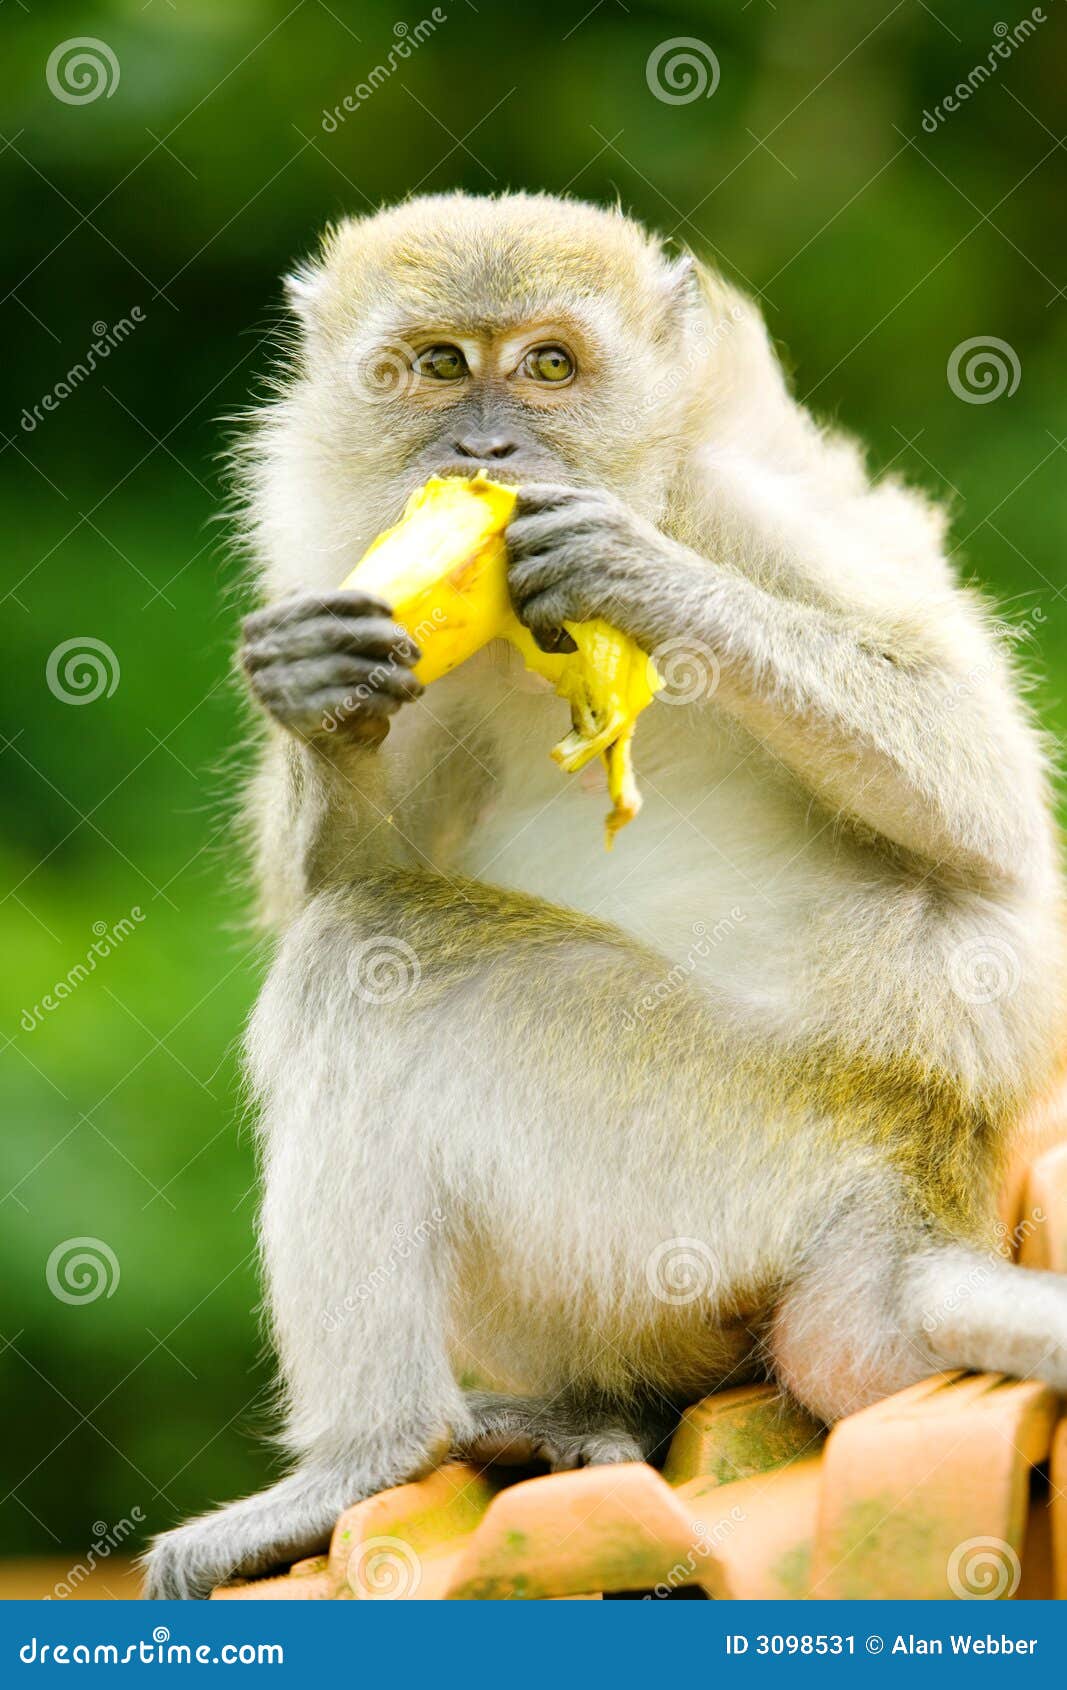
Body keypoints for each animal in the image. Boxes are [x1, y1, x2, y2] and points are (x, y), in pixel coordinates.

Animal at [143, 191, 1067, 1599]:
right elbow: (358, 852)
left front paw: (636, 574)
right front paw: (315, 694)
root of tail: (908, 1190)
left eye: (548, 365)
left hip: (707, 1146)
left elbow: (979, 803)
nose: (484, 445)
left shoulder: (739, 505)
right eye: (437, 364)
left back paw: (367, 1456)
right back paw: (597, 1409)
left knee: (376, 959)